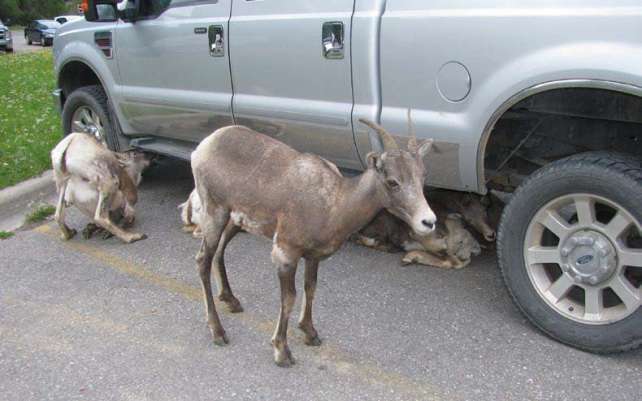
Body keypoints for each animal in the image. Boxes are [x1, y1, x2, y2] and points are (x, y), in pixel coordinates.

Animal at [191, 116, 436, 367]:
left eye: (422, 177)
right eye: (392, 181)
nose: (428, 222)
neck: (334, 204)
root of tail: (205, 145)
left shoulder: (313, 257)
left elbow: (311, 288)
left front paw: (311, 334)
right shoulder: (285, 254)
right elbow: (289, 297)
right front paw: (282, 352)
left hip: (235, 220)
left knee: (219, 251)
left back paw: (231, 301)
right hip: (215, 212)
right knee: (203, 261)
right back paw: (218, 332)